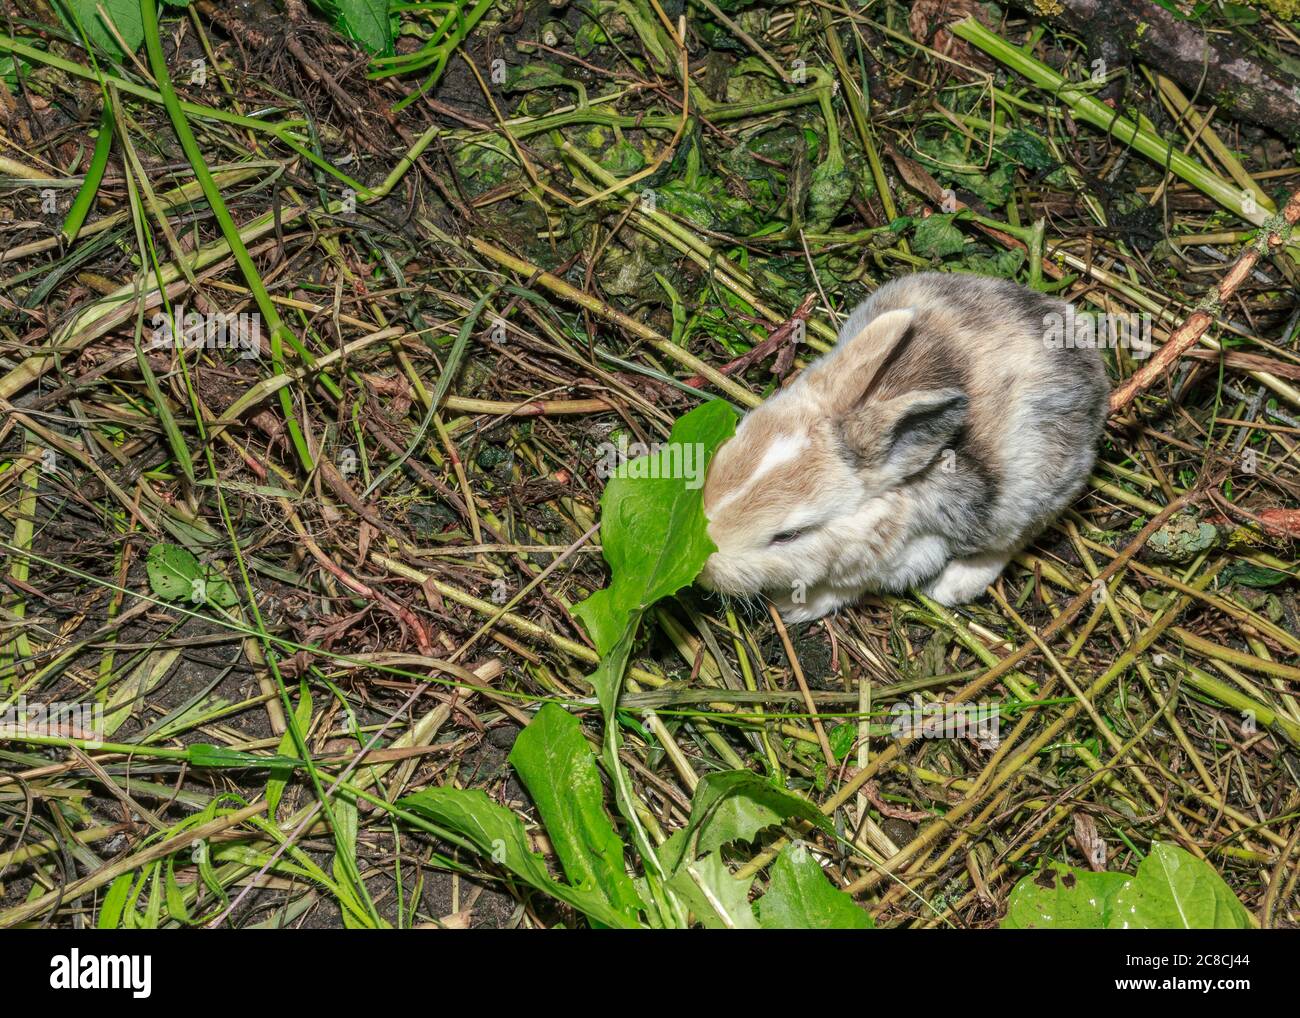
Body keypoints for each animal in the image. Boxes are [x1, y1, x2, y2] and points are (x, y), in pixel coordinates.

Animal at [697, 272, 1110, 622]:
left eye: (789, 536)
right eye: (727, 448)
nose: (704, 567)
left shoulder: (906, 557)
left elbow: (843, 589)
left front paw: (792, 607)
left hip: (1021, 505)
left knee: (1008, 543)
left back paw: (952, 586)